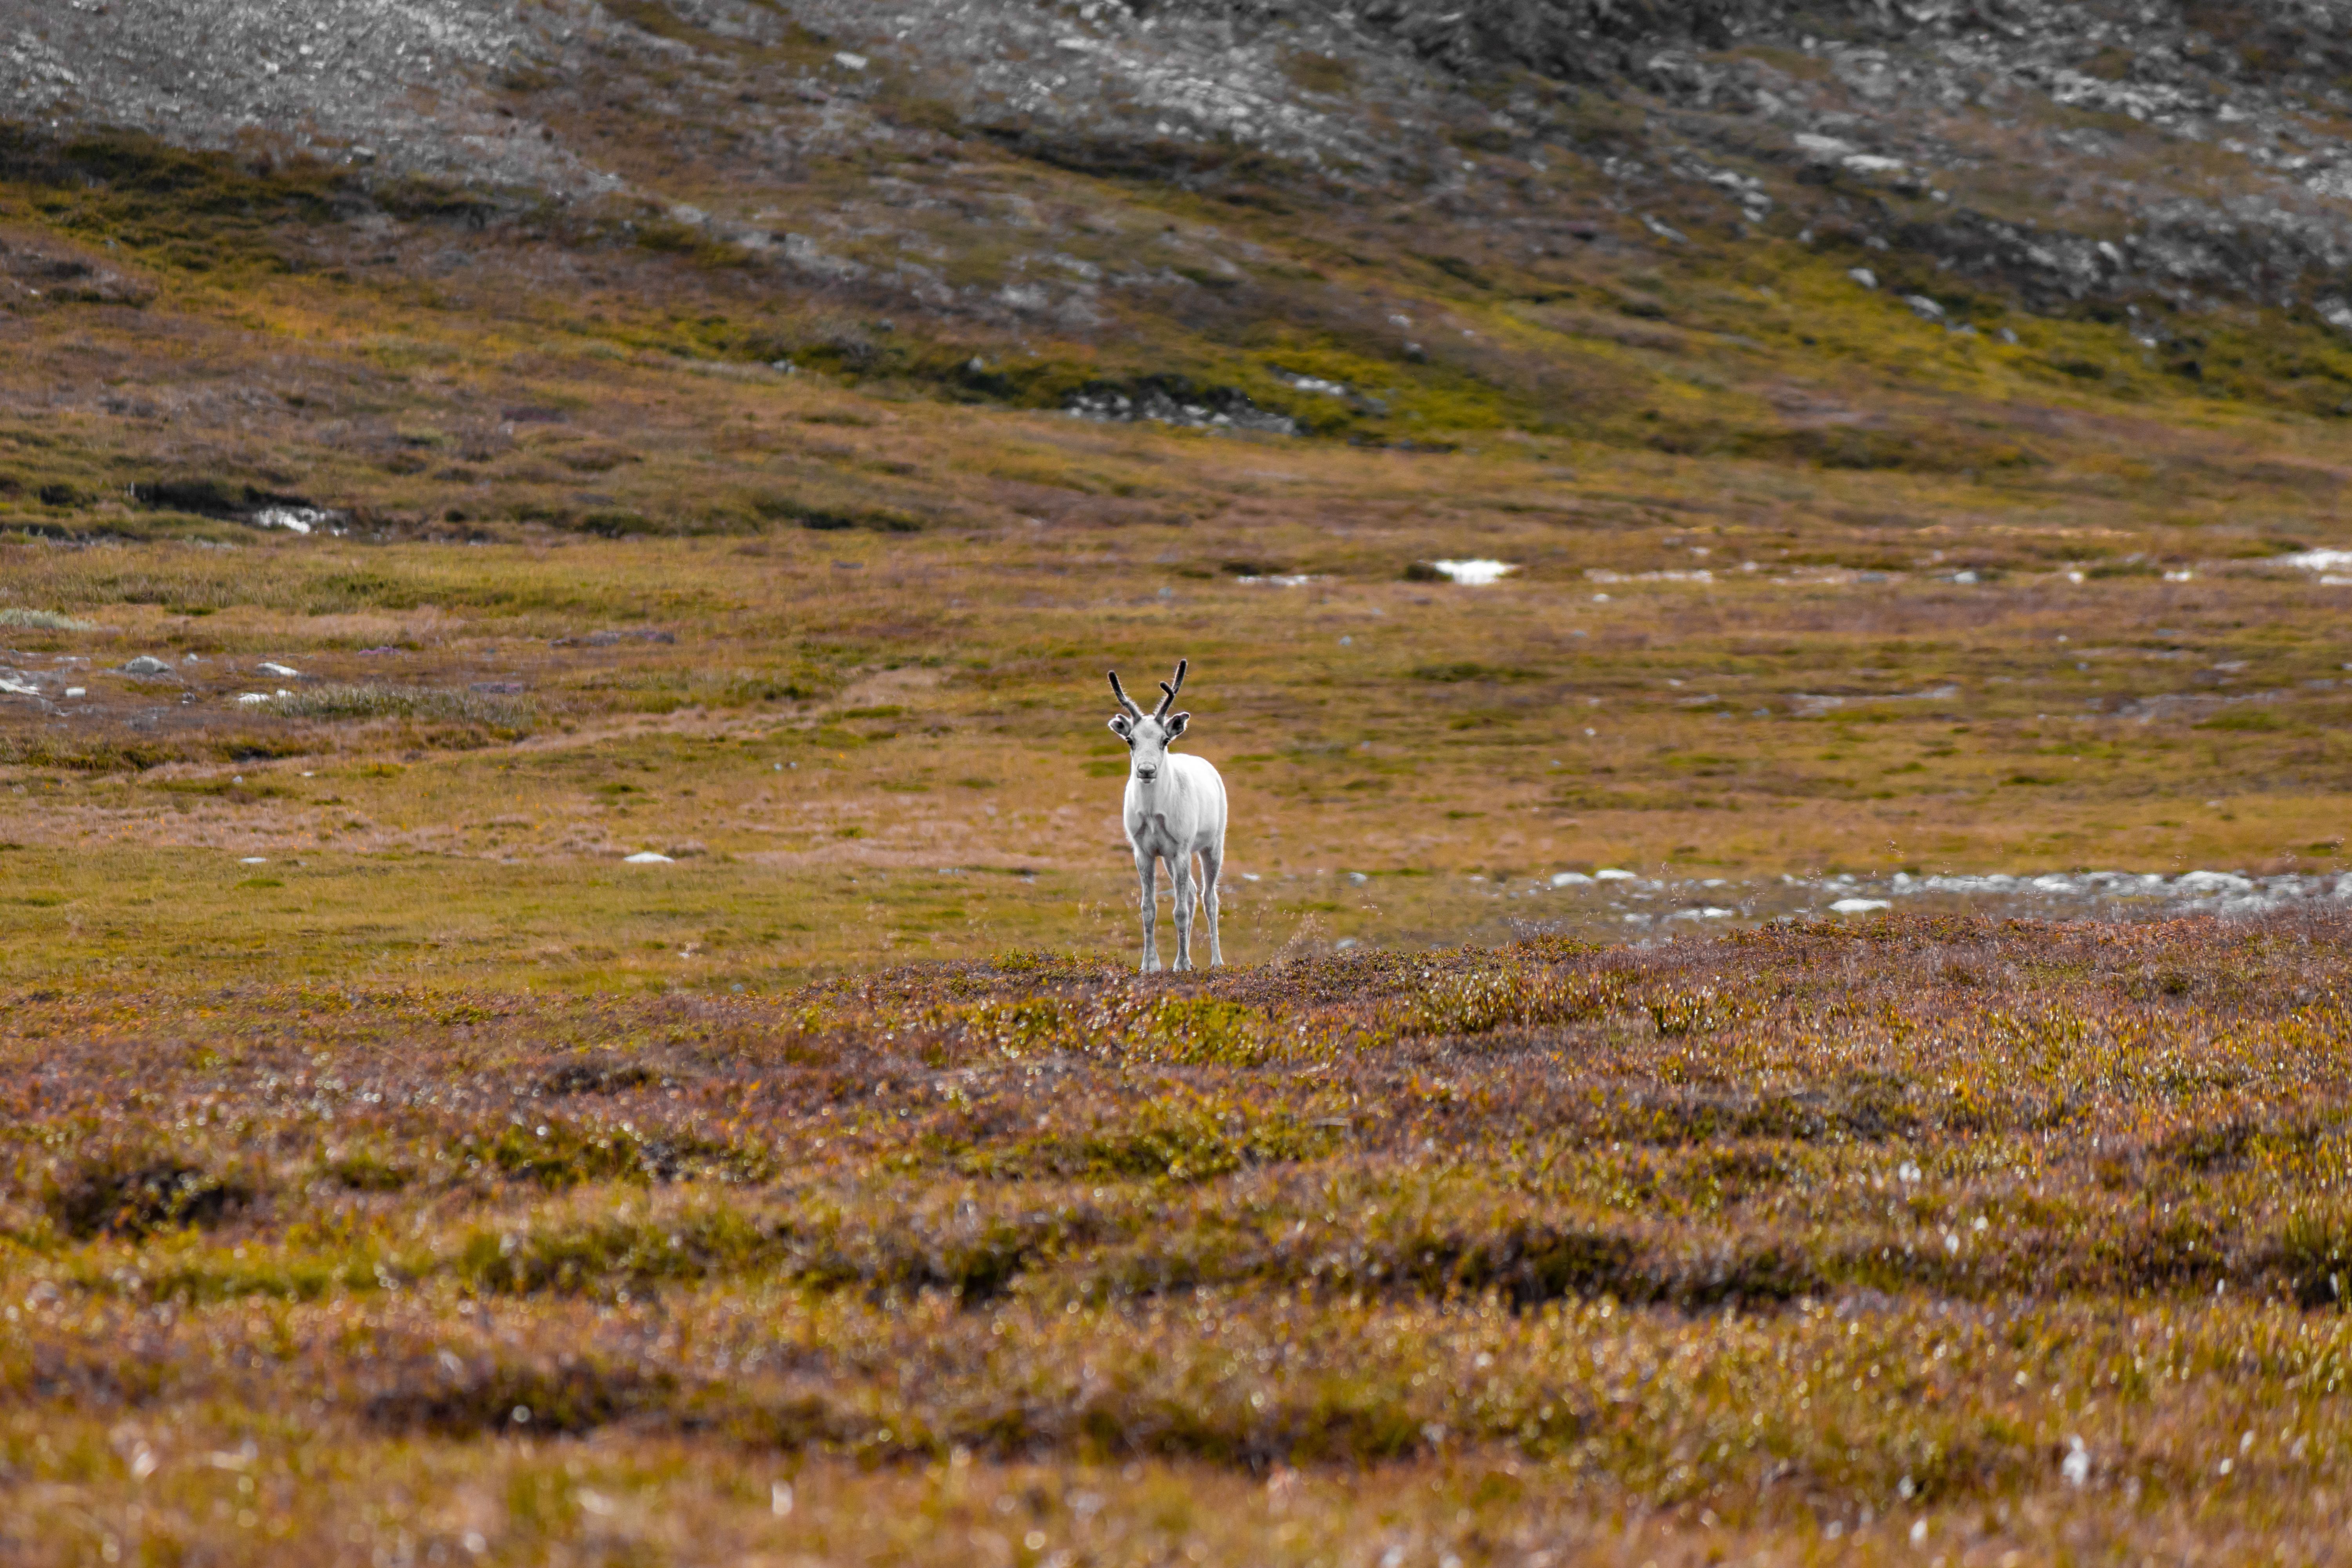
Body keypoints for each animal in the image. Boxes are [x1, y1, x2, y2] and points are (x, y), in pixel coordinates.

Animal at [1107, 658, 1226, 972]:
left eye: (1164, 740)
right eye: (1130, 740)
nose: (1147, 770)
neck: (1152, 813)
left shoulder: (1183, 848)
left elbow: (1180, 911)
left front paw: (1183, 964)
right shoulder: (1144, 852)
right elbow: (1148, 908)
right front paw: (1151, 964)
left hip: (1213, 844)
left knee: (1209, 898)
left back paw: (1216, 961)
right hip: (1171, 858)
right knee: (1192, 892)